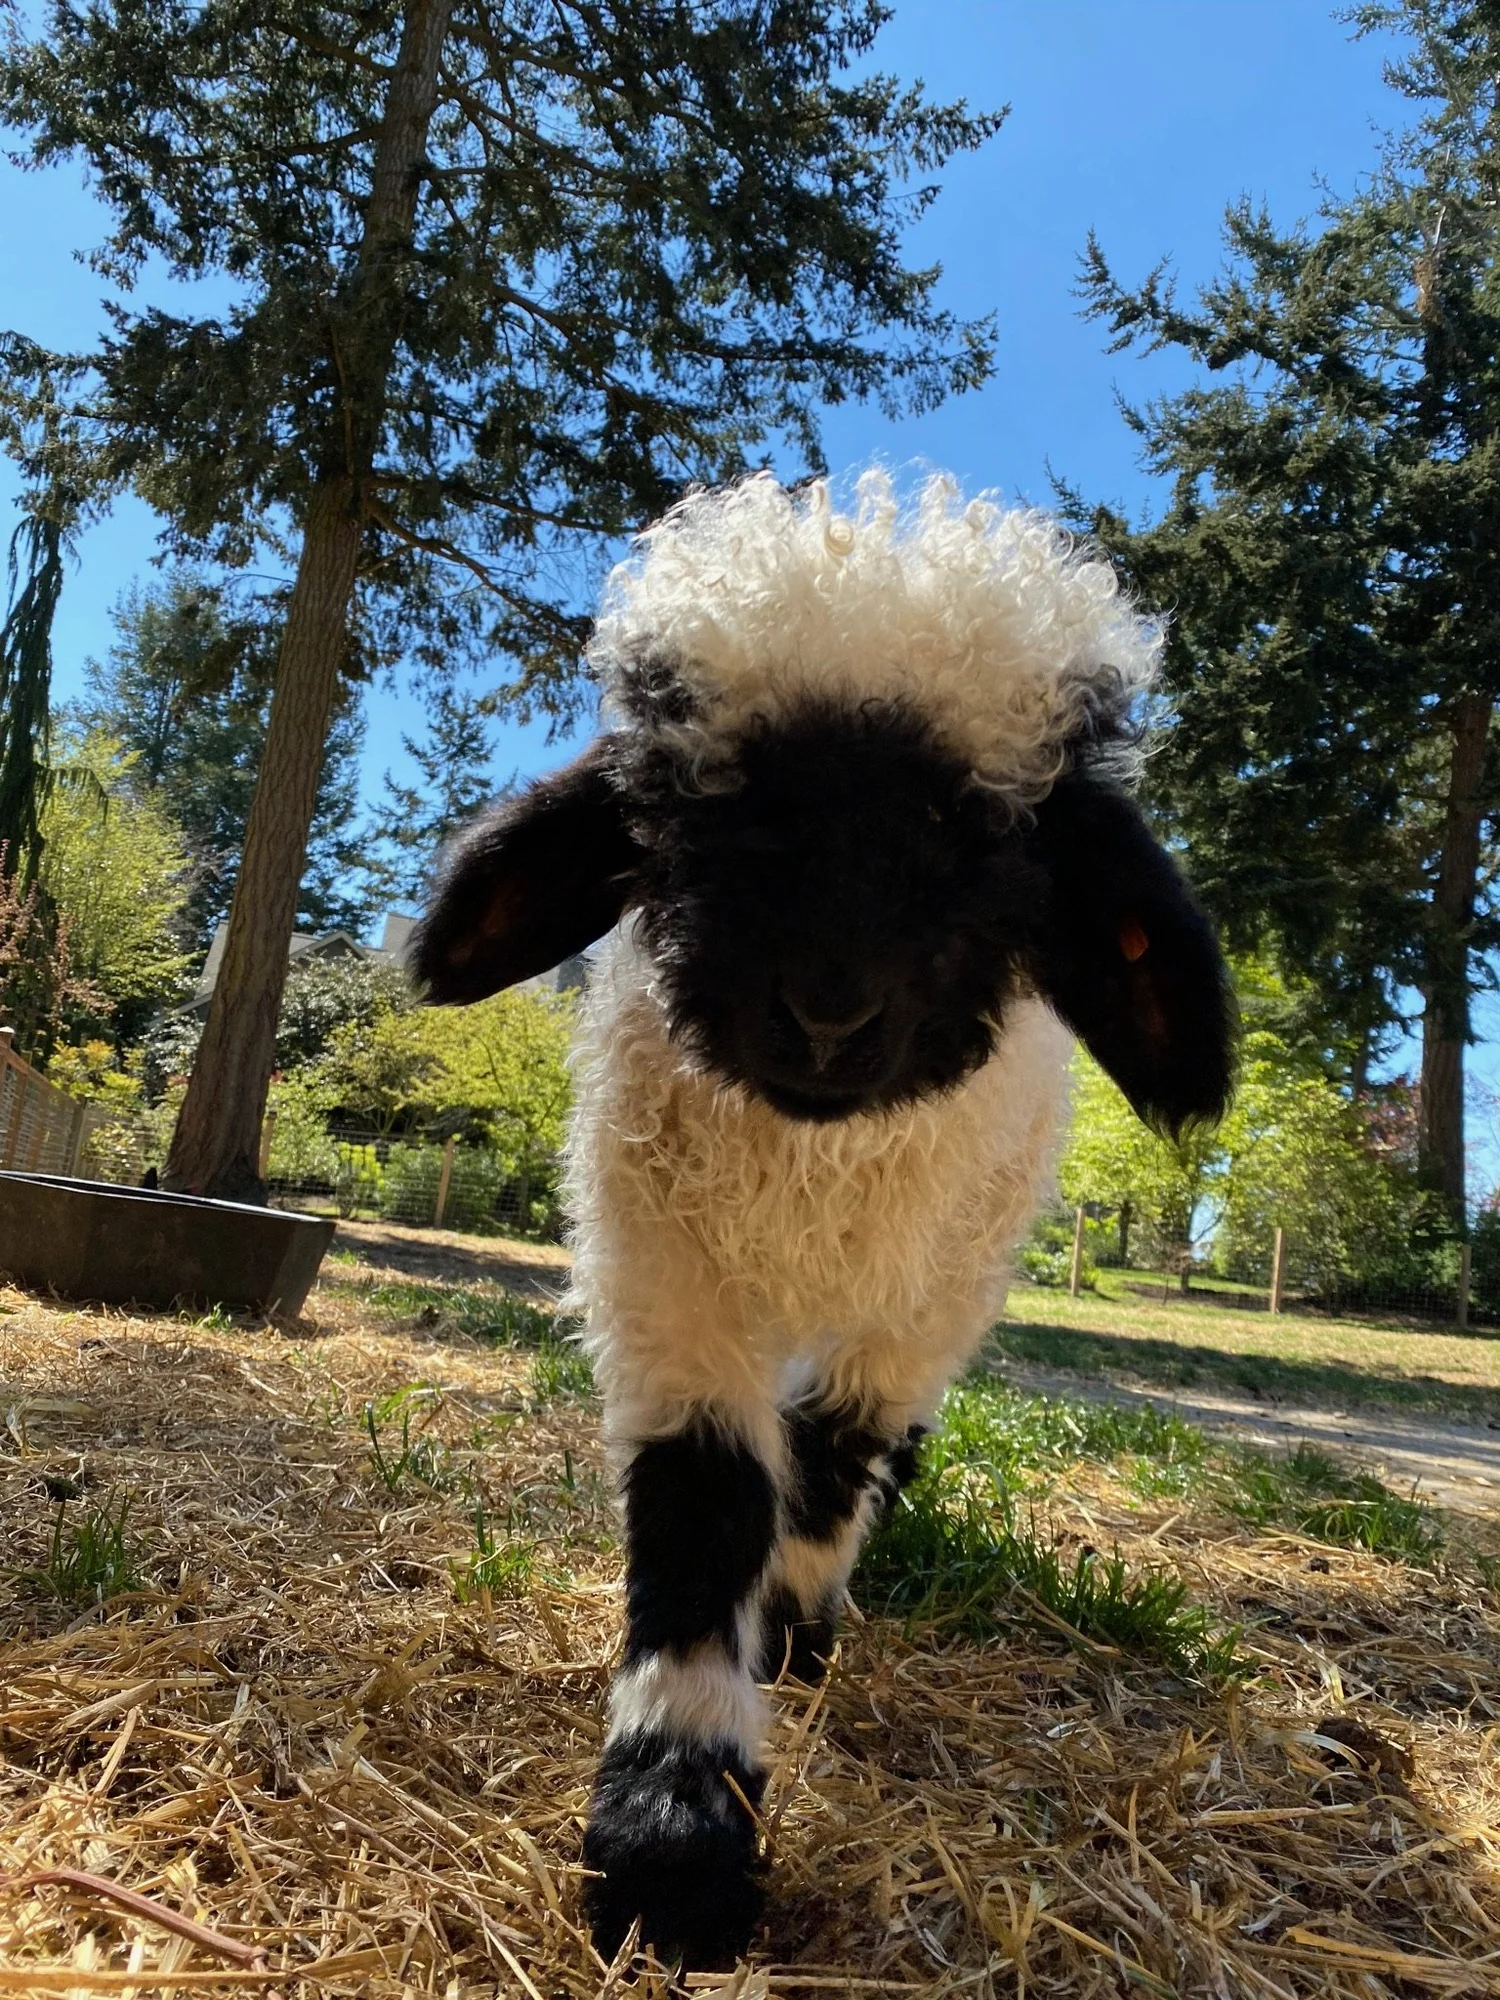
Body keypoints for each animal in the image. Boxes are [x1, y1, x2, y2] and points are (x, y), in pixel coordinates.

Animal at [412, 468, 1233, 1973]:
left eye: (987, 837)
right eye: (699, 803)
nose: (827, 1011)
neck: (818, 1160)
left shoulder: (921, 1310)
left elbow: (834, 1458)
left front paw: (790, 1633)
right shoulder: (663, 1264)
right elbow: (702, 1498)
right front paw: (672, 1821)